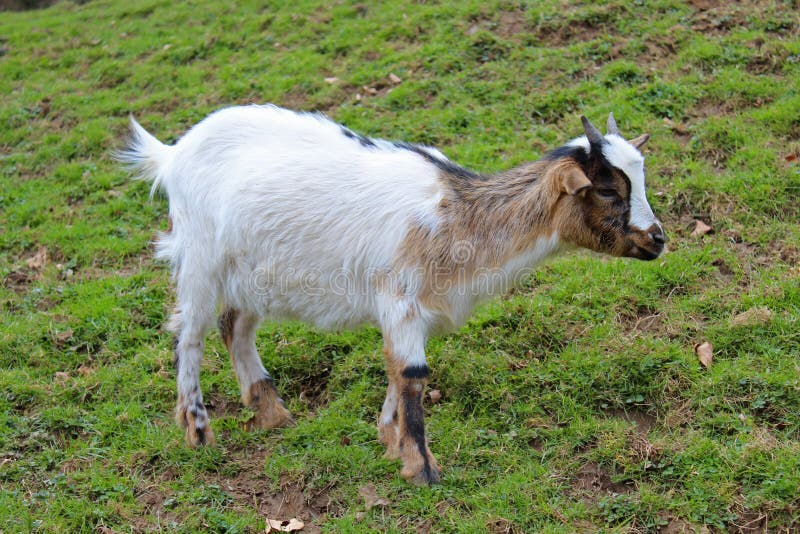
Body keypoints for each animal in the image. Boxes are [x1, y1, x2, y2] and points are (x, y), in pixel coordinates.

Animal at [117, 106, 664, 485]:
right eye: (608, 190)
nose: (657, 239)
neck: (457, 217)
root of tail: (175, 153)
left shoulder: (414, 312)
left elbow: (397, 374)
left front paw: (390, 440)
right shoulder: (399, 298)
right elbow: (413, 376)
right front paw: (422, 469)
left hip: (254, 275)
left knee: (235, 326)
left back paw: (271, 412)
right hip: (200, 259)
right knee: (189, 335)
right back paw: (198, 431)